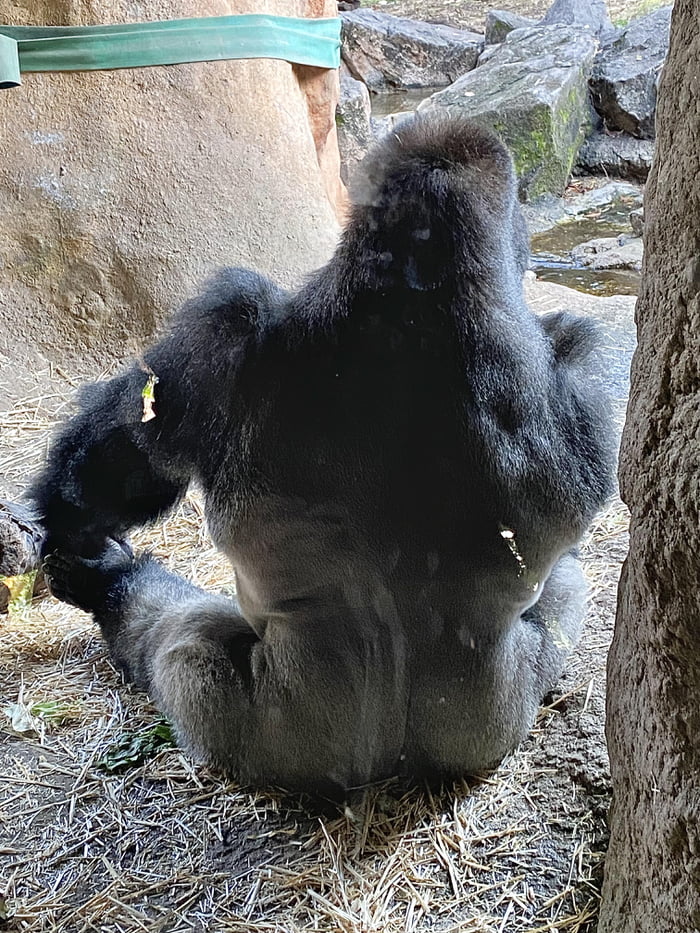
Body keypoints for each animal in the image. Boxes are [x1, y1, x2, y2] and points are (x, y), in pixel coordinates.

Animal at [31, 115, 615, 794]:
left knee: (182, 642)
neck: (416, 298)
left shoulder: (223, 320)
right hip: (493, 728)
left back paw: (109, 586)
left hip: (292, 742)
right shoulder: (582, 368)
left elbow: (95, 488)